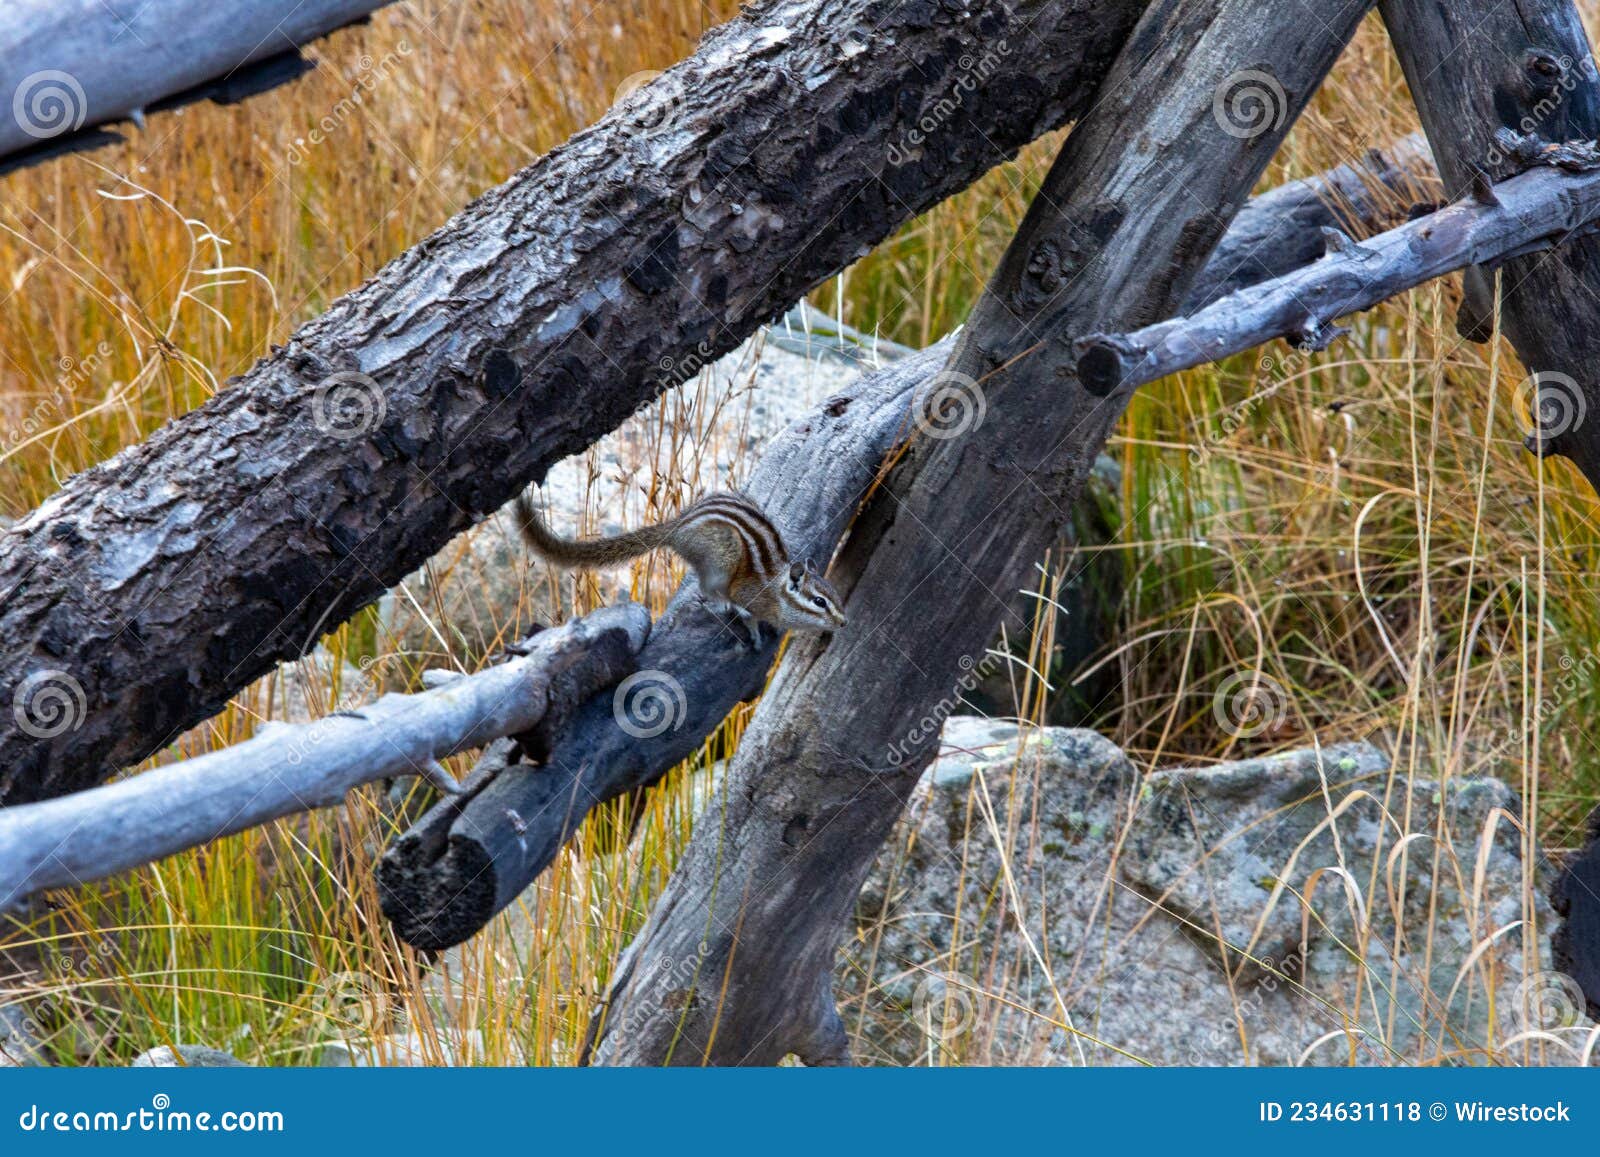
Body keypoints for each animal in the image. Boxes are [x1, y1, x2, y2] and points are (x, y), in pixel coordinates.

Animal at [513, 491, 846, 645]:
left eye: (836, 596)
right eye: (819, 602)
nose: (844, 623)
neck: (776, 591)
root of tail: (678, 526)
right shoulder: (746, 590)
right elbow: (746, 612)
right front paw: (753, 628)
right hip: (720, 558)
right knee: (706, 587)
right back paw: (721, 603)